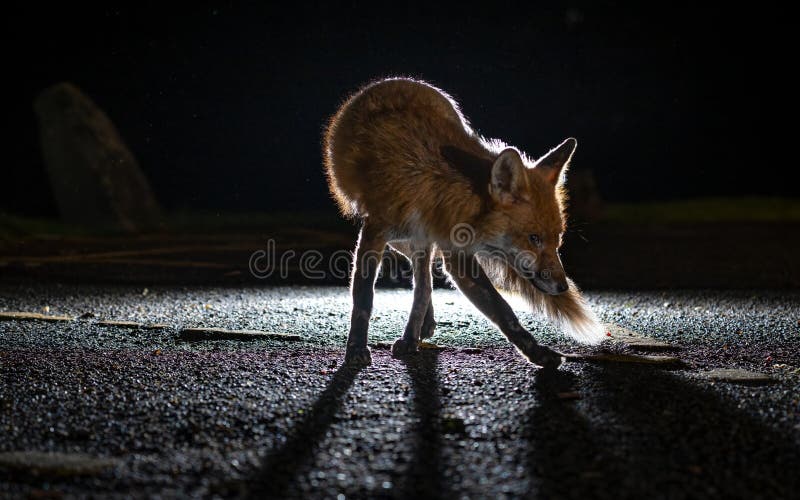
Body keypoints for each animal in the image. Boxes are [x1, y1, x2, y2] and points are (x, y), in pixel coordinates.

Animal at [323, 77, 604, 368]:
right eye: (534, 239)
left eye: (557, 241)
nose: (562, 287)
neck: (437, 190)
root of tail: (396, 79)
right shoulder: (375, 232)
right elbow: (364, 298)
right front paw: (356, 348)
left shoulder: (456, 254)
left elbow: (502, 310)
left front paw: (537, 352)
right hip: (401, 240)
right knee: (422, 279)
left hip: (419, 242)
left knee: (423, 283)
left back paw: (416, 332)